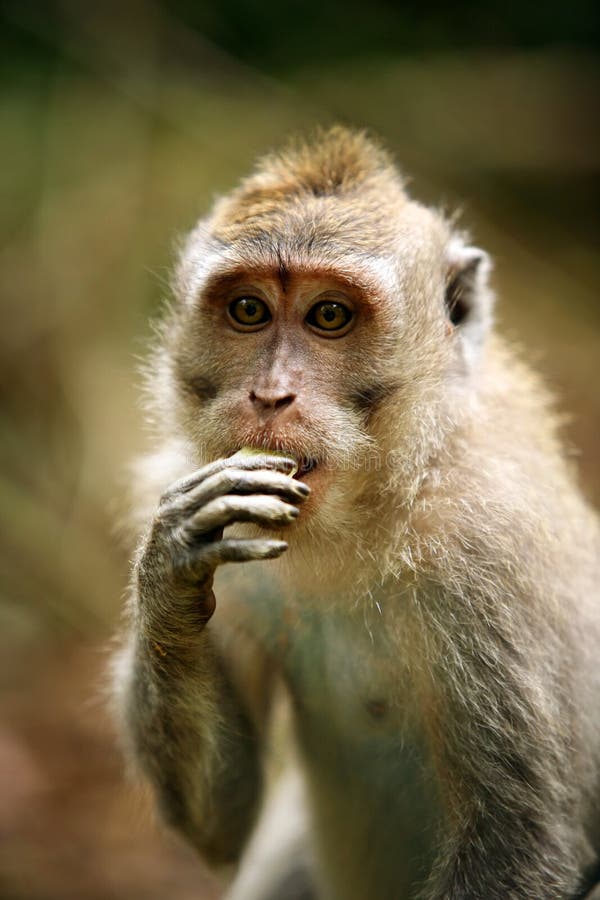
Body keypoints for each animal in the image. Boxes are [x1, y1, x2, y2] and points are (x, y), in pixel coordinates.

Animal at [113, 127, 600, 900]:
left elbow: (522, 840)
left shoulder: (491, 554)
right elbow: (224, 819)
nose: (270, 396)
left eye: (330, 315)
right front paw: (172, 569)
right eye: (248, 310)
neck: (376, 507)